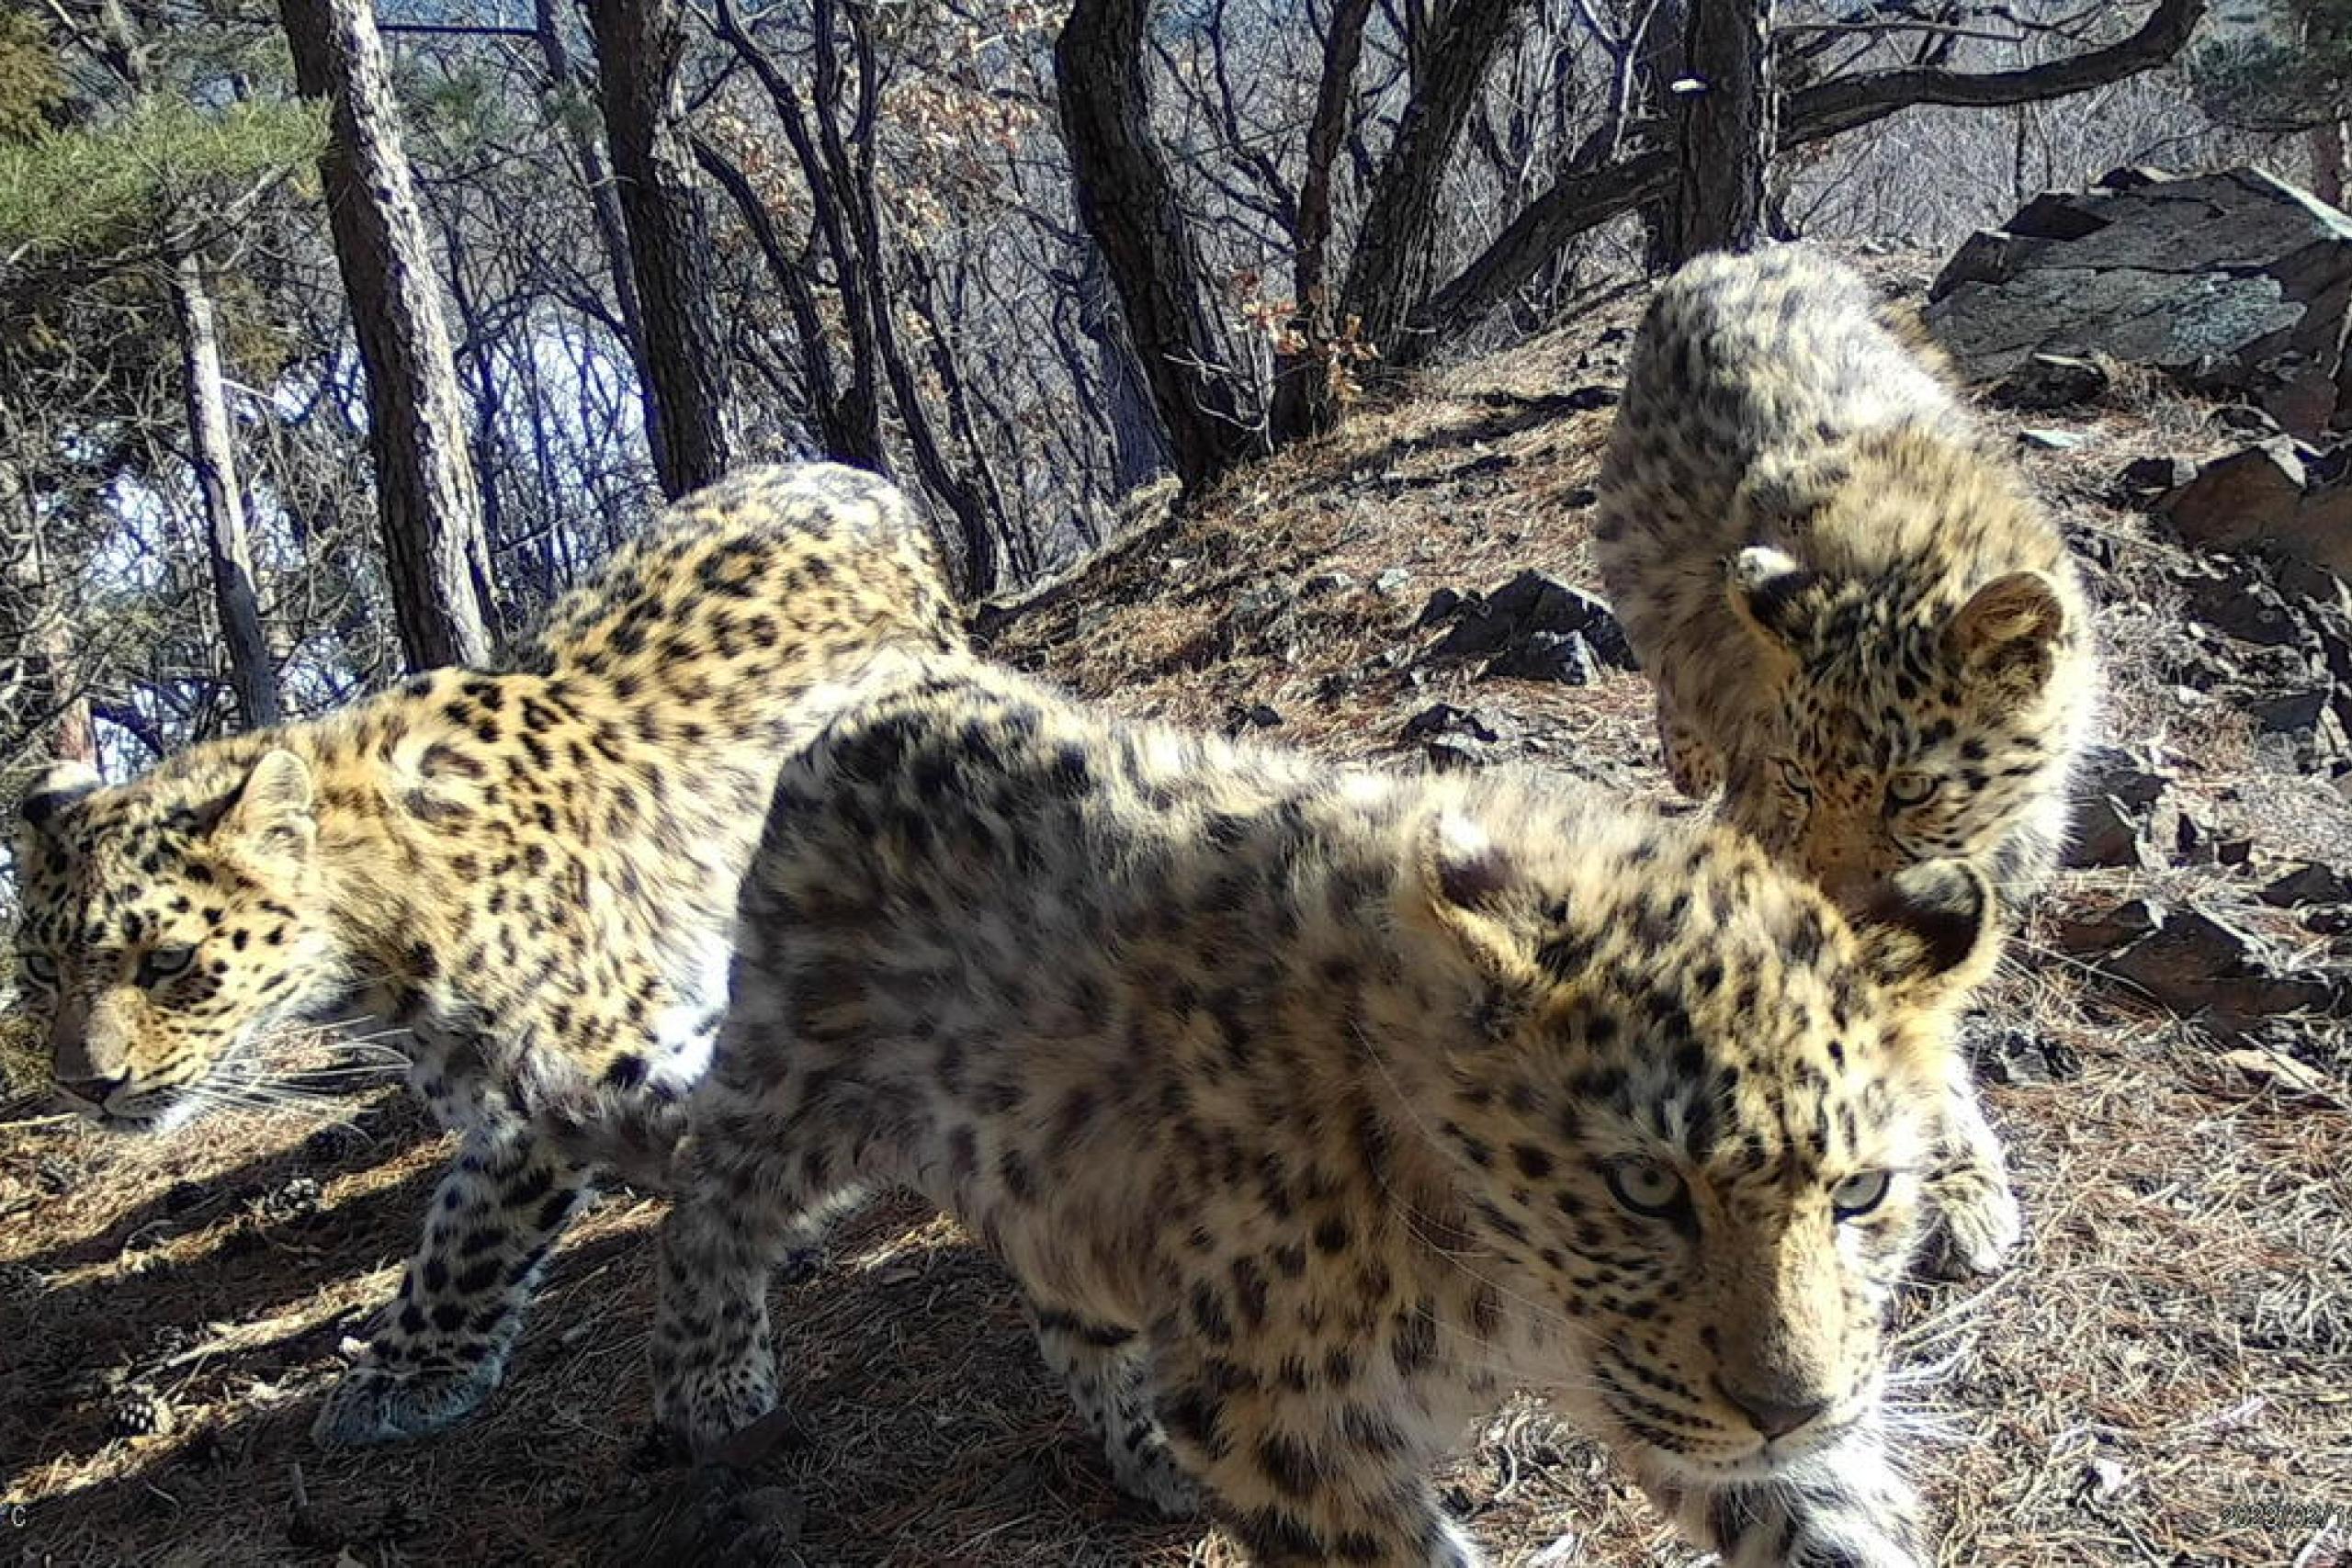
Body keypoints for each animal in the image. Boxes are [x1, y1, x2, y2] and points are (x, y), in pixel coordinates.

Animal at [8, 462, 963, 1447]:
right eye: (40, 971)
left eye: (166, 959)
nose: (86, 1086)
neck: (371, 934)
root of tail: (848, 473)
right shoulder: (507, 1096)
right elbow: (469, 1219)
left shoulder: (599, 1060)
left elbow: (515, 1228)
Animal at [650, 649, 2002, 1567]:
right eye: (1643, 1185)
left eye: (1862, 1192)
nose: (1788, 1410)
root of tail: (884, 685)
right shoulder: (1278, 1416)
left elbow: (1818, 1514)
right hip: (804, 1078)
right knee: (707, 1190)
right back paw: (715, 1392)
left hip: (1048, 1165)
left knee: (1066, 1298)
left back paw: (1143, 1451)